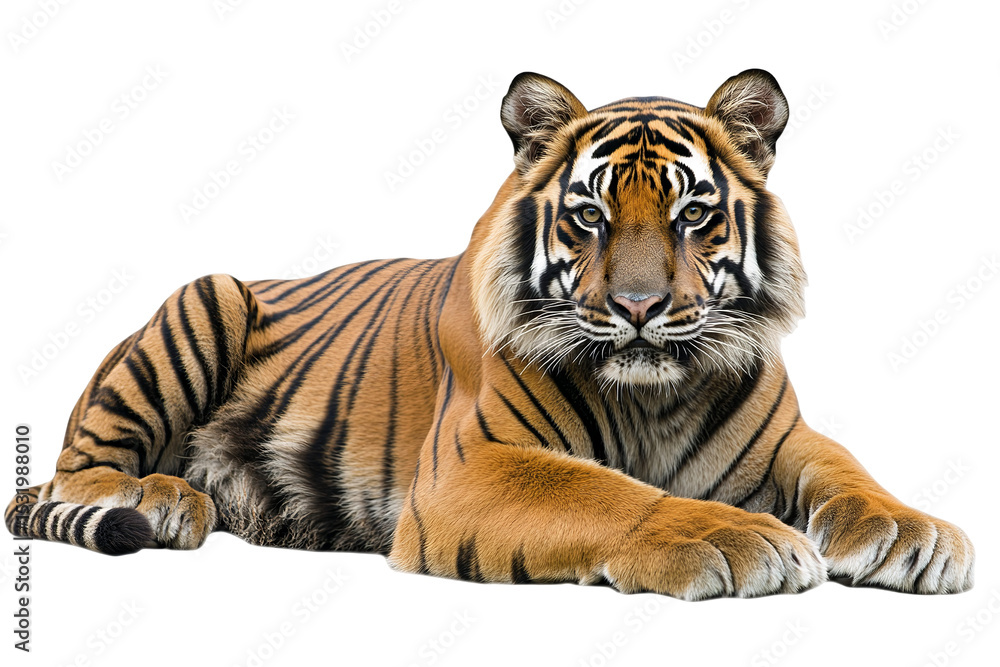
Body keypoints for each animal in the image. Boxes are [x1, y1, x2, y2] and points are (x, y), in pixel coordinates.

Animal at [6, 69, 974, 600]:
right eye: (588, 216)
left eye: (693, 215)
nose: (639, 307)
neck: (654, 394)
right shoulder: (471, 465)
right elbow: (609, 491)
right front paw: (737, 538)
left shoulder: (785, 437)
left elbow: (845, 467)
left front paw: (916, 534)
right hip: (205, 297)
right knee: (78, 468)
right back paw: (163, 498)